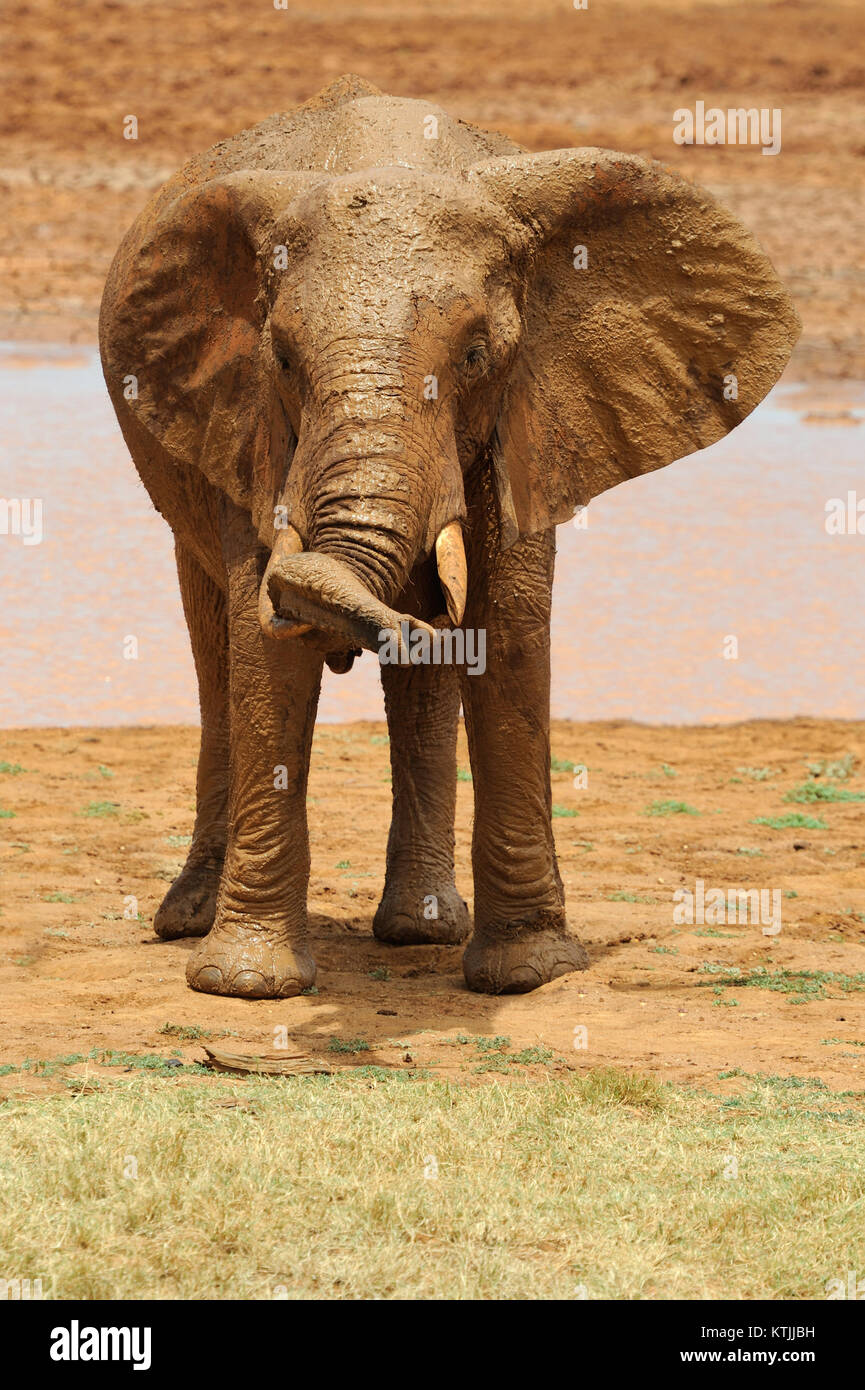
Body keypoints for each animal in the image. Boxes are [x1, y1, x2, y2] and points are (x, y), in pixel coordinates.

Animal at [99, 74, 799, 999]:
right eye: (280, 358)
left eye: (474, 355)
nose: (400, 626)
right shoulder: (242, 421)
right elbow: (263, 655)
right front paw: (246, 986)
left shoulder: (537, 411)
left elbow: (509, 629)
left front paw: (526, 974)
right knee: (213, 650)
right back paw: (191, 921)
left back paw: (420, 930)